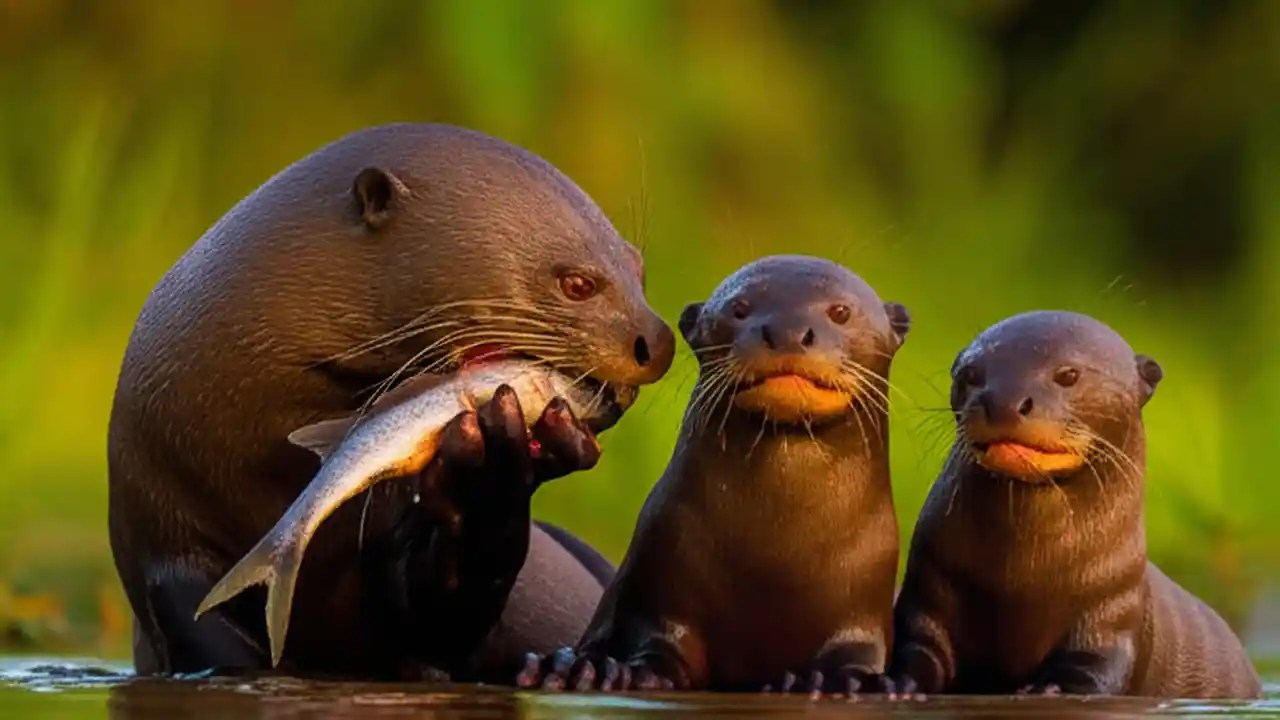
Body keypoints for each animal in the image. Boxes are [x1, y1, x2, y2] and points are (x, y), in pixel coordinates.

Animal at [517, 255, 910, 694]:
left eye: (840, 312)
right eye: (739, 308)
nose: (787, 332)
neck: (777, 554)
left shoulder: (864, 607)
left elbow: (856, 654)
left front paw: (832, 681)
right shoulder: (666, 583)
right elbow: (659, 645)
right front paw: (623, 672)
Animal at [891, 311, 1261, 698]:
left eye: (1068, 375)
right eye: (971, 373)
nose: (1003, 402)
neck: (1021, 580)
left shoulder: (1112, 607)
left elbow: (1093, 667)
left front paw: (1049, 688)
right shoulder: (931, 589)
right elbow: (920, 647)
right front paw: (899, 683)